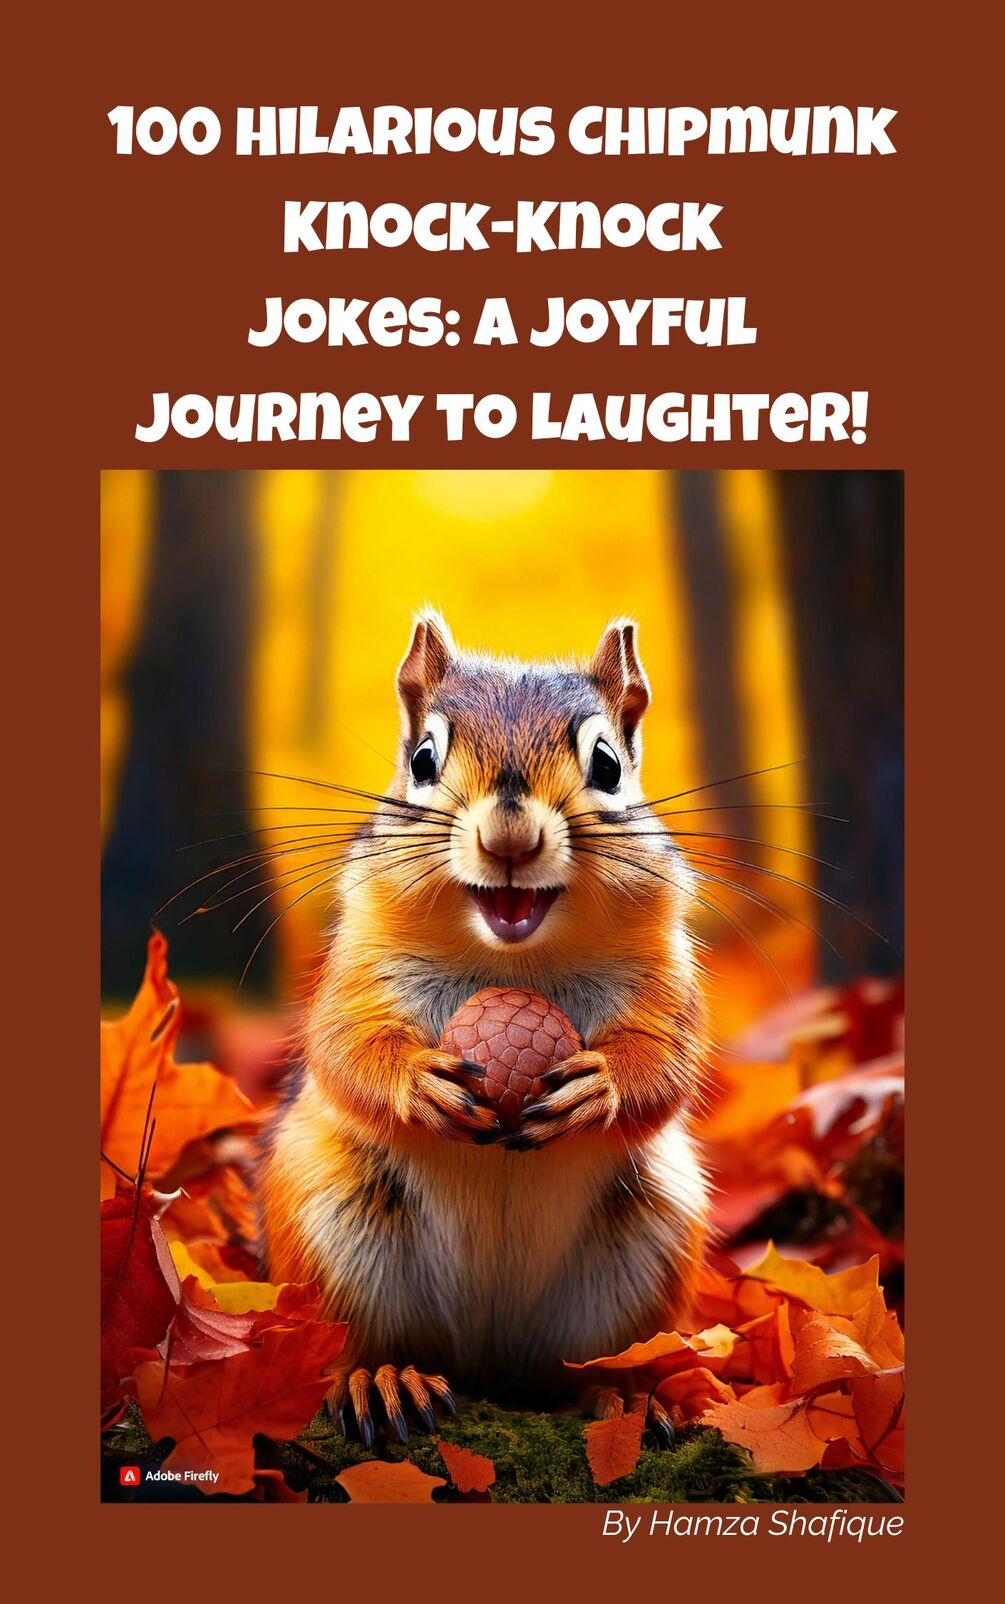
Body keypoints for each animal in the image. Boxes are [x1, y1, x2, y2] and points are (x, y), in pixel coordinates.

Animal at [260, 611, 709, 1443]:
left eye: (607, 765)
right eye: (423, 759)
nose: (508, 840)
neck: (514, 960)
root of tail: (488, 1362)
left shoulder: (663, 978)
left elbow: (668, 1059)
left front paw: (599, 1088)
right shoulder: (359, 966)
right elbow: (344, 1043)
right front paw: (418, 1084)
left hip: (648, 1249)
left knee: (586, 1370)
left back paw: (627, 1395)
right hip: (332, 1231)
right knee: (348, 1347)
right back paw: (383, 1380)